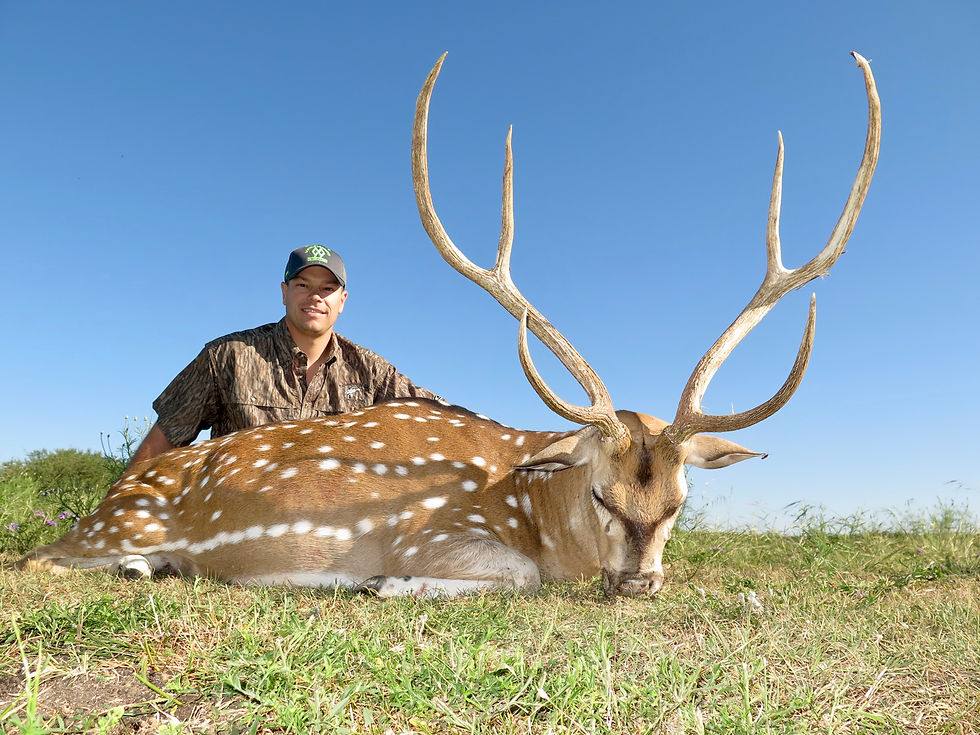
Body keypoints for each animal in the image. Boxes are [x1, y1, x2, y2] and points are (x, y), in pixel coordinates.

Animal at [16, 52, 880, 597]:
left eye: (678, 503)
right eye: (601, 494)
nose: (638, 581)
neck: (531, 505)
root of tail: (108, 495)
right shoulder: (426, 534)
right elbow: (511, 577)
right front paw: (380, 581)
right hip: (109, 529)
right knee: (33, 559)